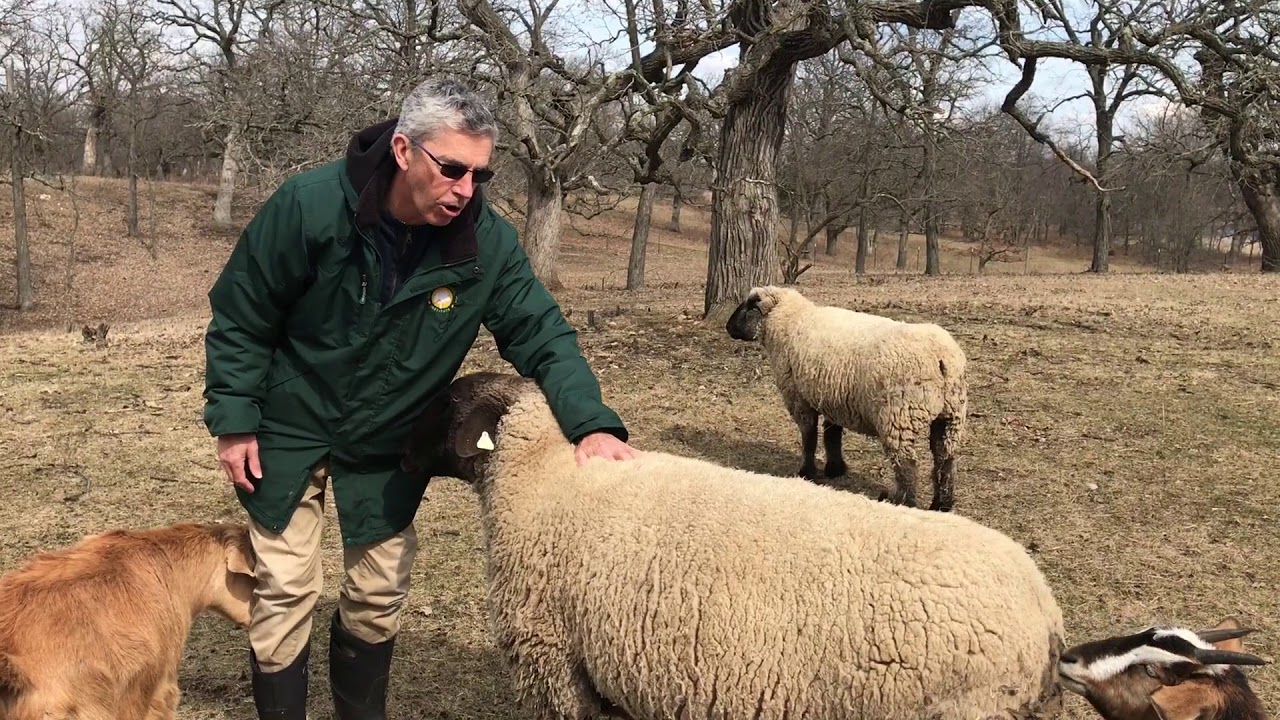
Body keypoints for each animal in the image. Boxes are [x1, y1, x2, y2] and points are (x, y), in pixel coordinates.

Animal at [725, 285, 968, 512]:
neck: (790, 320)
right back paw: (941, 505)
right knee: (945, 459)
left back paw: (901, 502)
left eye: (750, 305)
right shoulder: (832, 397)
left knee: (907, 466)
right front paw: (835, 468)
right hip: (951, 416)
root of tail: (942, 357)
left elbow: (809, 436)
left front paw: (807, 472)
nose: (728, 327)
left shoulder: (799, 397)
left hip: (899, 417)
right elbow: (832, 434)